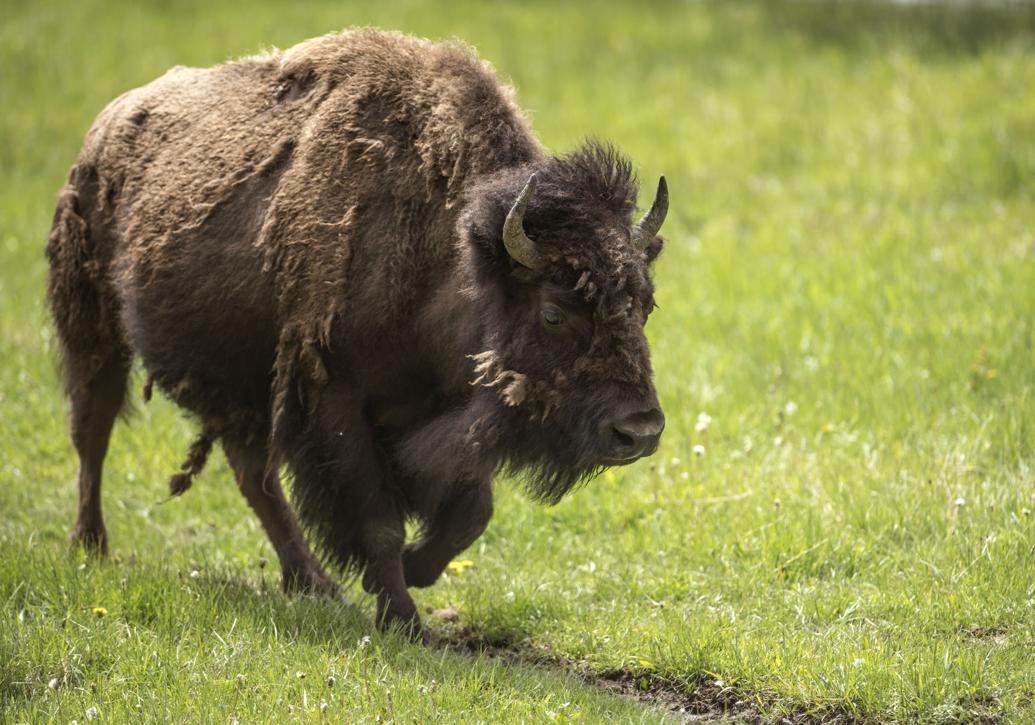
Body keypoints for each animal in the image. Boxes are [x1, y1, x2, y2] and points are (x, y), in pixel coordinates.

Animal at [46, 29, 668, 638]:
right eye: (554, 312)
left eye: (645, 304)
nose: (639, 431)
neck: (446, 259)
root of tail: (103, 131)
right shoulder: (337, 406)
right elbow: (379, 521)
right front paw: (401, 617)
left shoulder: (453, 415)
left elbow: (472, 512)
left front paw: (412, 574)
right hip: (94, 334)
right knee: (93, 433)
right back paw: (90, 547)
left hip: (244, 390)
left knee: (254, 475)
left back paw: (313, 582)